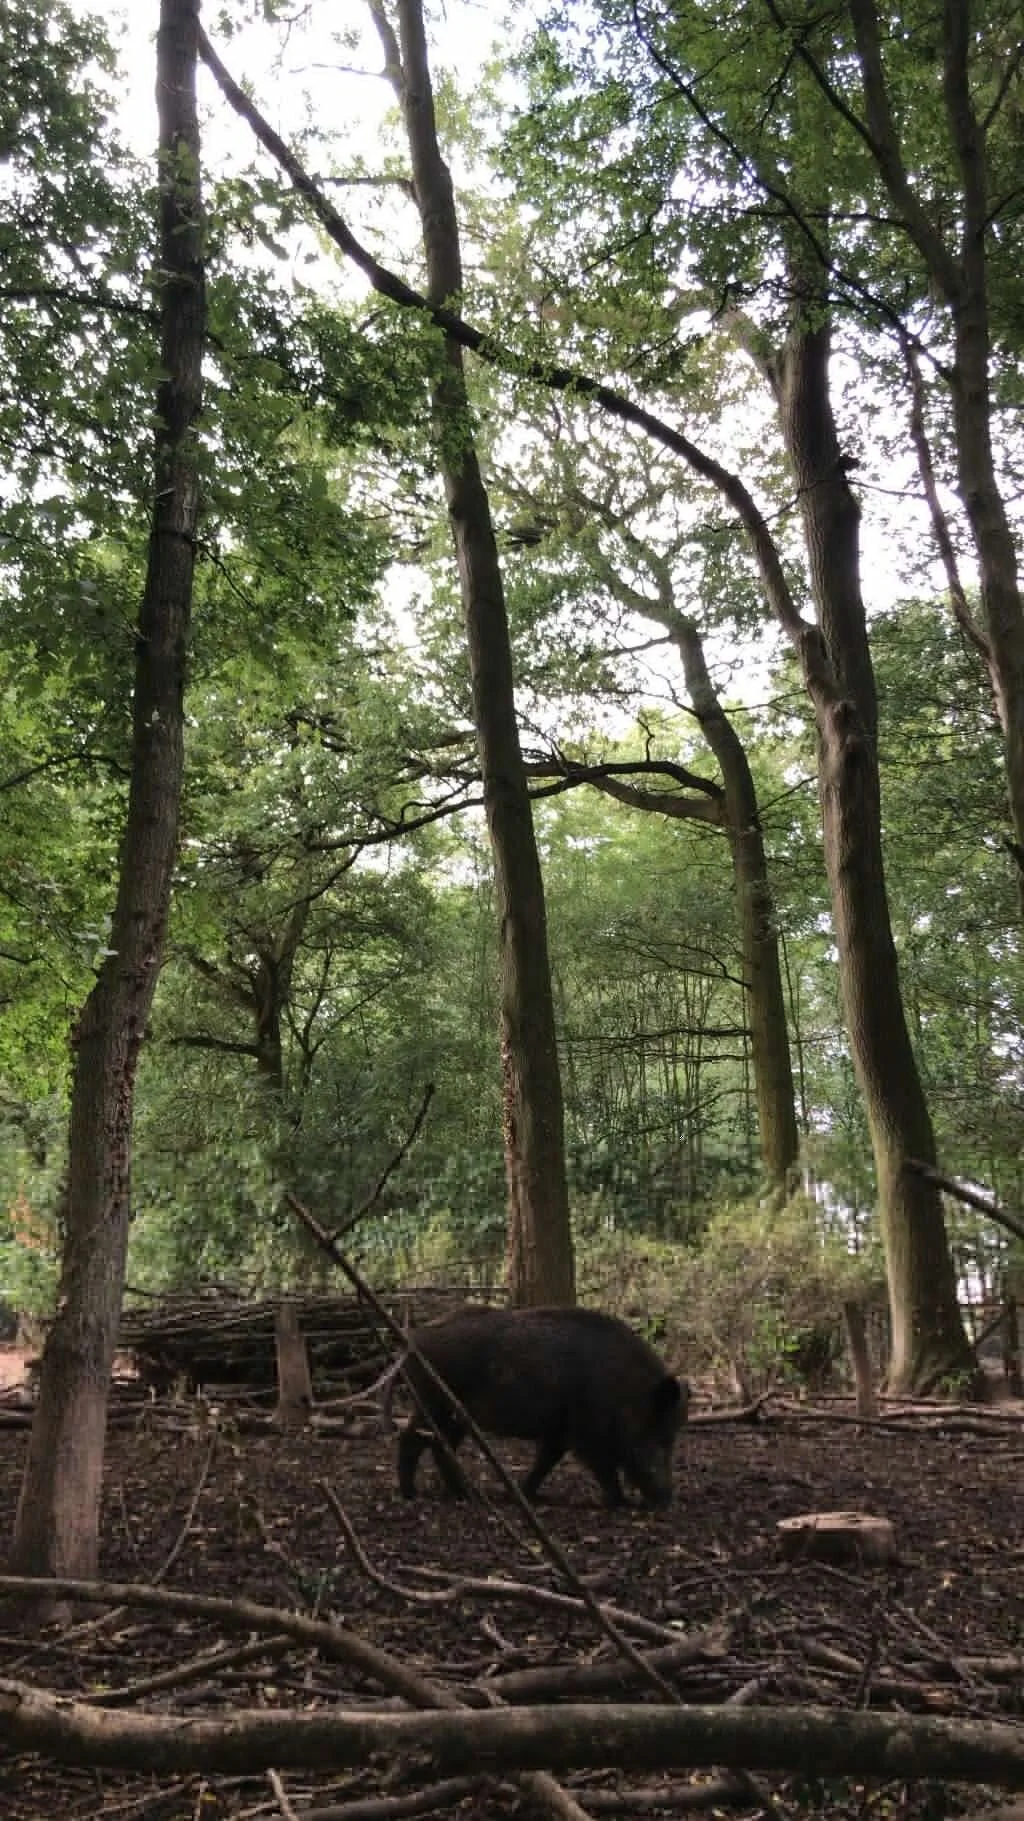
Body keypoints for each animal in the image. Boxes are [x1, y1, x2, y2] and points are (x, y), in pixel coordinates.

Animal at [395, 1304, 687, 1507]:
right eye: (656, 1432)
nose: (666, 1501)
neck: (624, 1393)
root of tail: (412, 1339)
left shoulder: (558, 1430)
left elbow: (546, 1460)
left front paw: (527, 1496)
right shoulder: (585, 1431)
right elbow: (601, 1465)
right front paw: (620, 1502)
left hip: (452, 1413)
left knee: (440, 1446)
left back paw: (463, 1495)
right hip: (434, 1402)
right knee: (411, 1439)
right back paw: (412, 1494)